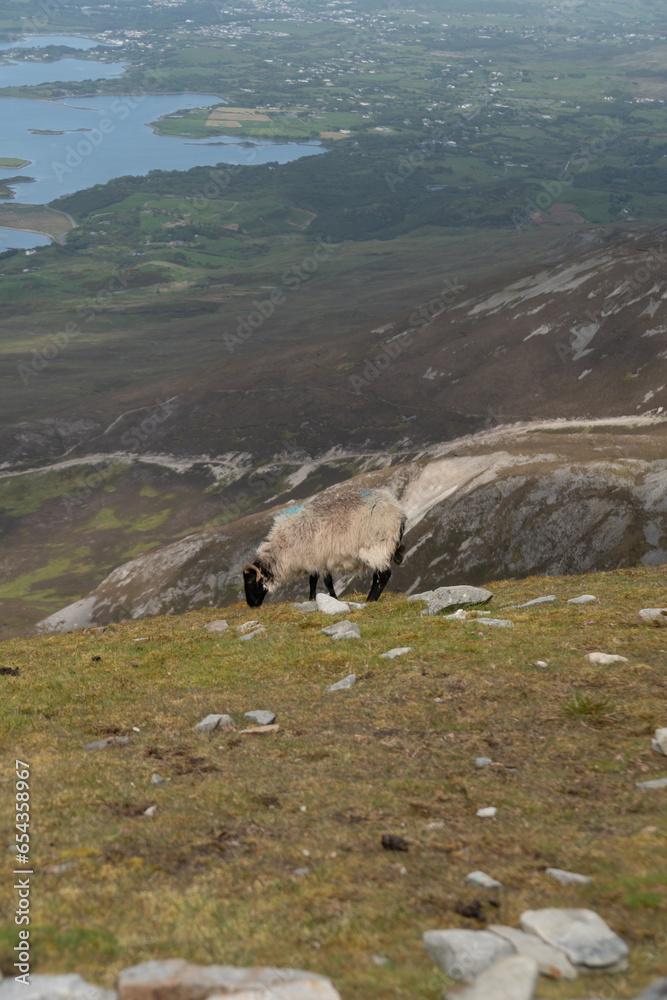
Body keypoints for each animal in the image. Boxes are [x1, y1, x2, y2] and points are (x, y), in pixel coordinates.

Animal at [243, 486, 406, 607]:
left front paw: (333, 598)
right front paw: (312, 599)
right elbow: (313, 581)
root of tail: (398, 510)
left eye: (250, 581)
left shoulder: (318, 558)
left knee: (383, 575)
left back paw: (371, 599)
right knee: (378, 575)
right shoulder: (314, 560)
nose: (252, 605)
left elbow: (326, 582)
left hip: (377, 545)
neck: (283, 546)